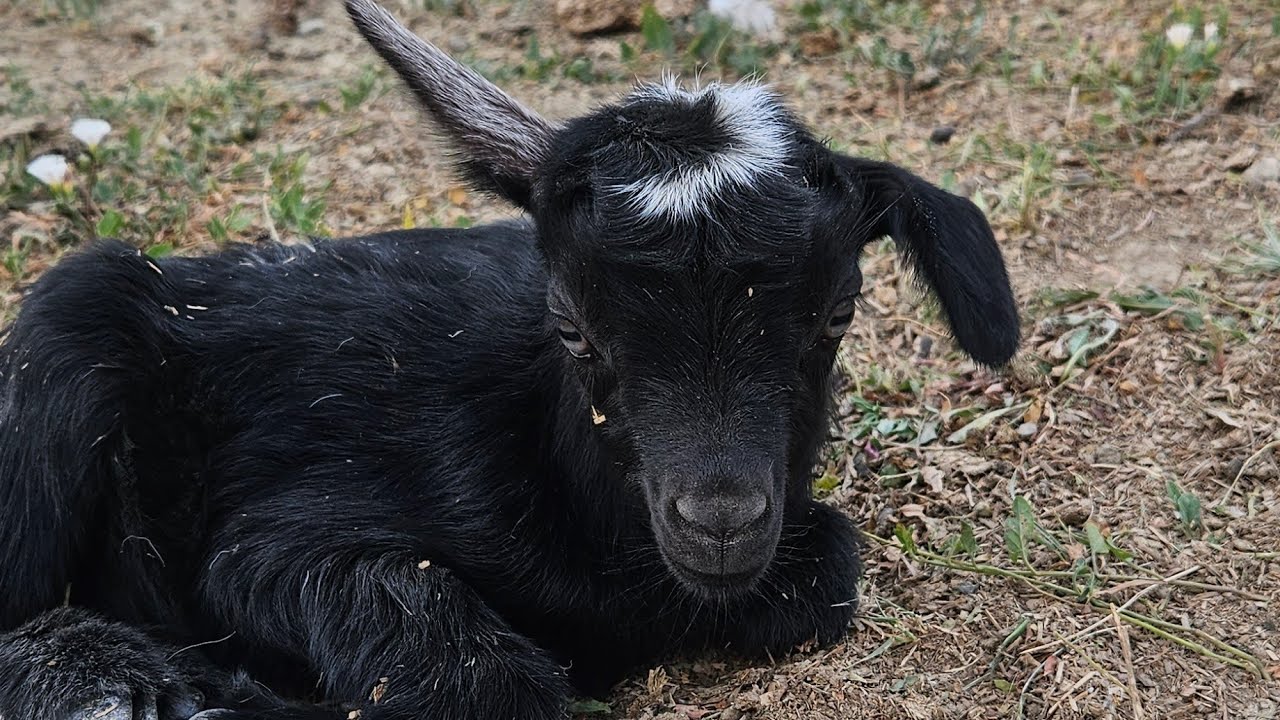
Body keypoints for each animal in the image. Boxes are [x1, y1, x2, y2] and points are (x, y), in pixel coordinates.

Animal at [0, 1, 1020, 718]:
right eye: (569, 323)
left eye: (839, 312)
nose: (719, 521)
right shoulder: (271, 541)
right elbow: (485, 680)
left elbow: (828, 570)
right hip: (64, 346)